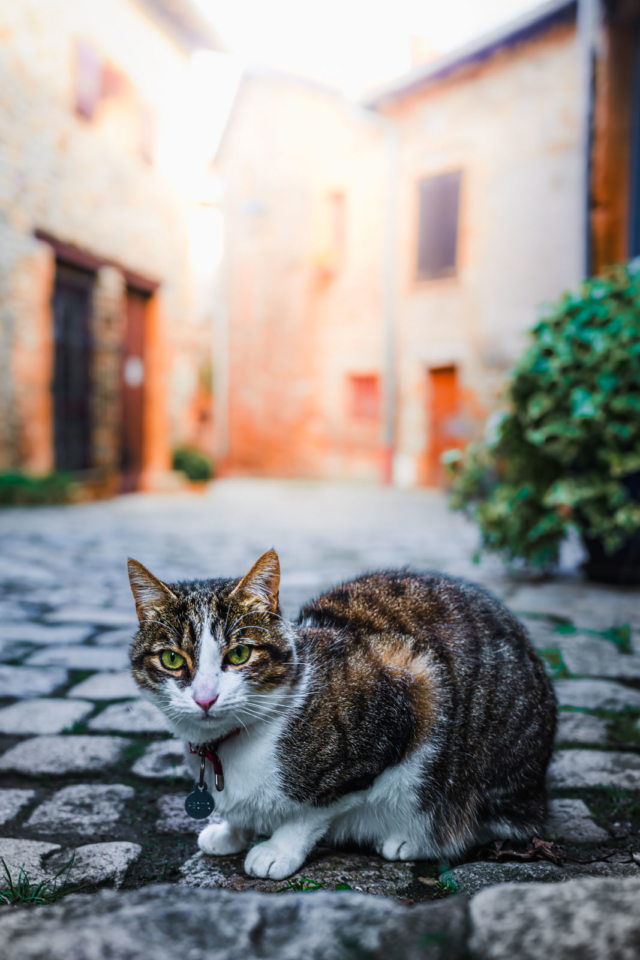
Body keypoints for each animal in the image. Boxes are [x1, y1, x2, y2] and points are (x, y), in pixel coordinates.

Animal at [129, 548, 556, 876]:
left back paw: (413, 840)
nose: (205, 698)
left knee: (481, 822)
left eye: (239, 654)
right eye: (172, 659)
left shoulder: (400, 704)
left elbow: (315, 810)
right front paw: (230, 831)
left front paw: (278, 850)